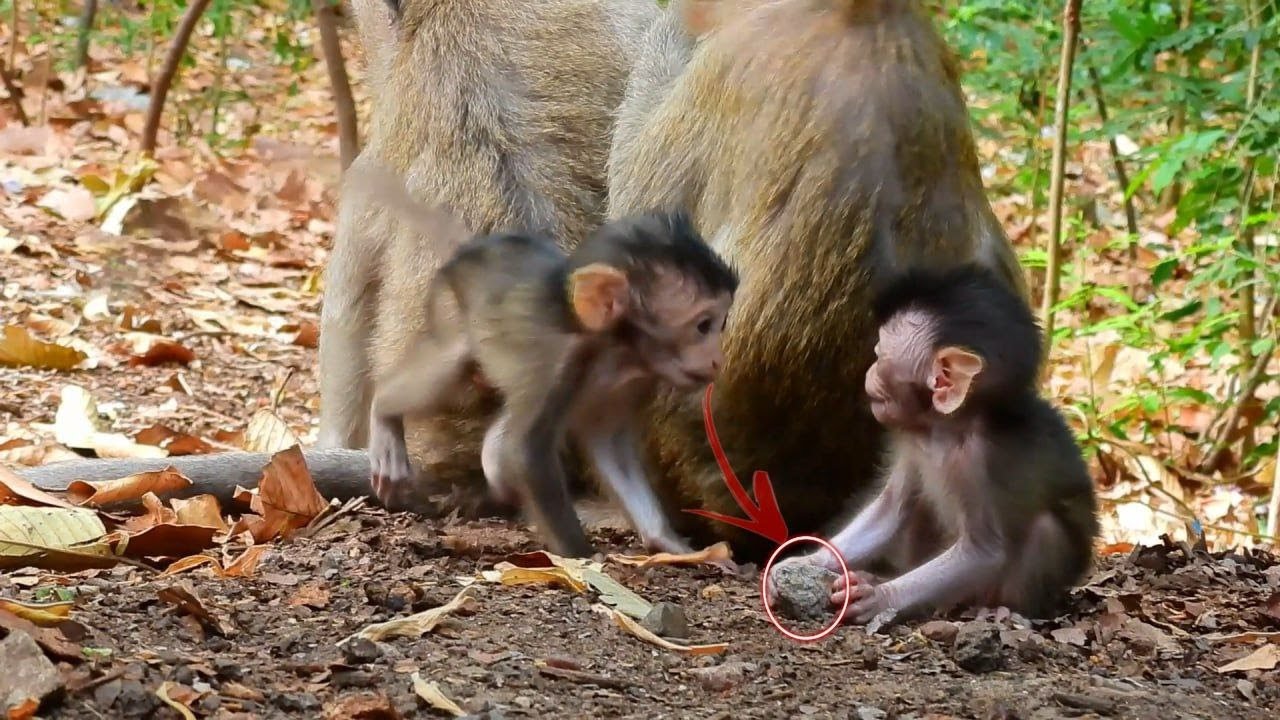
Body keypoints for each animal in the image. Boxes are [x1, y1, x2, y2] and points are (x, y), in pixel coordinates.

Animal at [367, 209, 739, 558]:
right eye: (703, 325)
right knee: (451, 361)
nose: (716, 360)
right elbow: (525, 452)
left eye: (720, 323)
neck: (610, 350)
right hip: (449, 304)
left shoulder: (633, 380)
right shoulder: (556, 365)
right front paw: (581, 558)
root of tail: (474, 250)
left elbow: (609, 445)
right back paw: (383, 410)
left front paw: (669, 542)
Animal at [767, 263, 1098, 623]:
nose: (868, 373)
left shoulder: (983, 461)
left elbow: (983, 552)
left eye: (880, 356)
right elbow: (891, 509)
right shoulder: (915, 440)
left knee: (1044, 529)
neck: (947, 429)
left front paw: (879, 597)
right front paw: (806, 561)